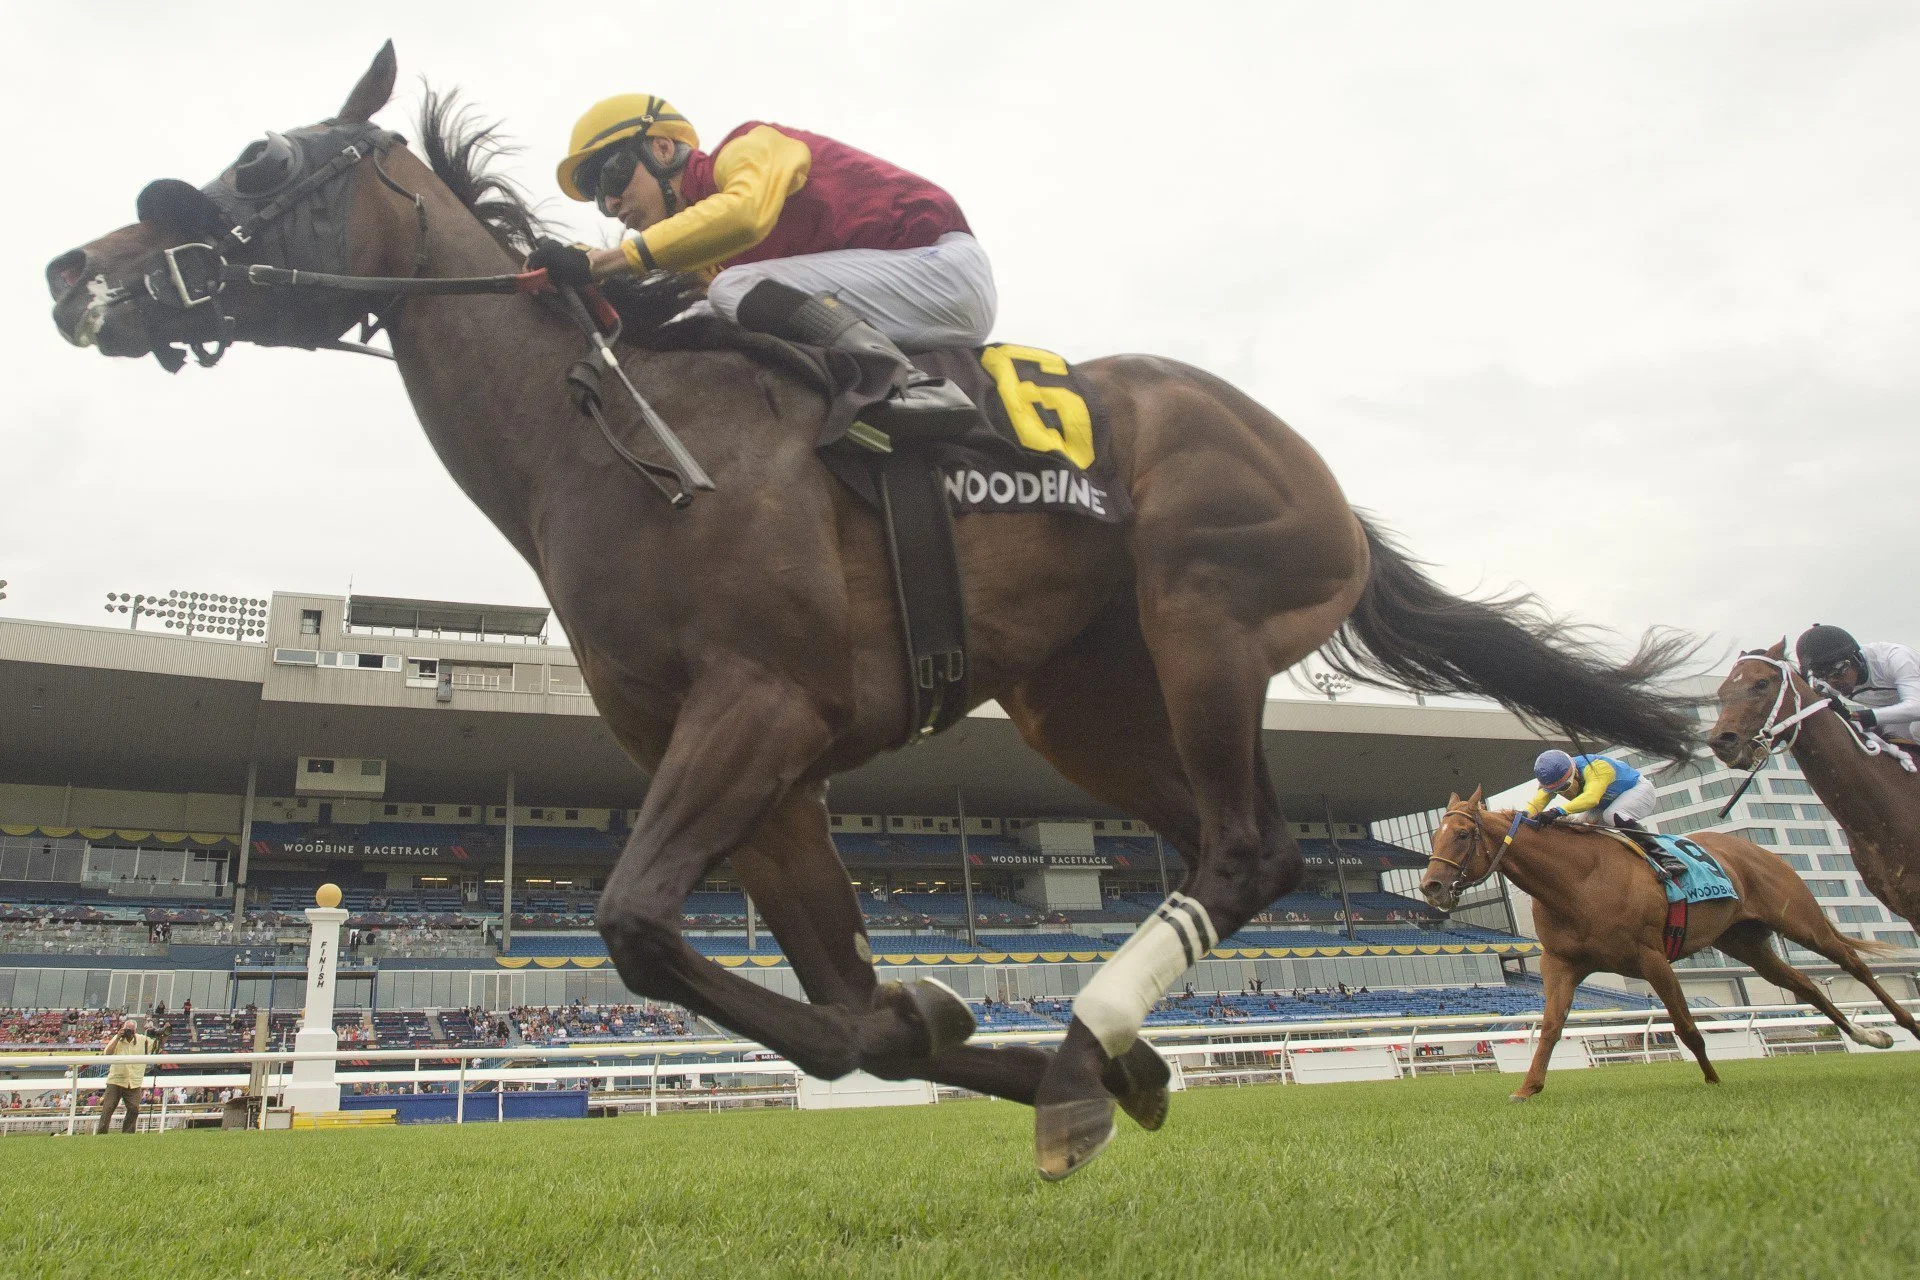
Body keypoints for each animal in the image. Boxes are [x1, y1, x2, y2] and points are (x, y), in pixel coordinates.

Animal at [45, 44, 1703, 1178]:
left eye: (264, 163)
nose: (74, 270)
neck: (623, 433)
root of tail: (1329, 485)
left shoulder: (761, 709)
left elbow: (635, 924)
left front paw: (1021, 1050)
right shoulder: (761, 768)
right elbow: (834, 1012)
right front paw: (968, 1027)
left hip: (1206, 614)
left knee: (1248, 845)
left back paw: (1091, 1040)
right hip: (1081, 702)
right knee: (1240, 852)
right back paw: (1101, 1053)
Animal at [1419, 789, 1918, 1100]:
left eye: (1461, 834)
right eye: (1432, 835)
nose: (1431, 886)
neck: (1578, 879)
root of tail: (1751, 847)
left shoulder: (1651, 957)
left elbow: (1686, 1027)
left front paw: (1713, 1078)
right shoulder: (1561, 963)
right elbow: (1551, 1027)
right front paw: (1527, 1087)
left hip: (1799, 919)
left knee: (1853, 963)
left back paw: (1903, 1025)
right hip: (1746, 944)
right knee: (1807, 987)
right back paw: (1869, 1035)